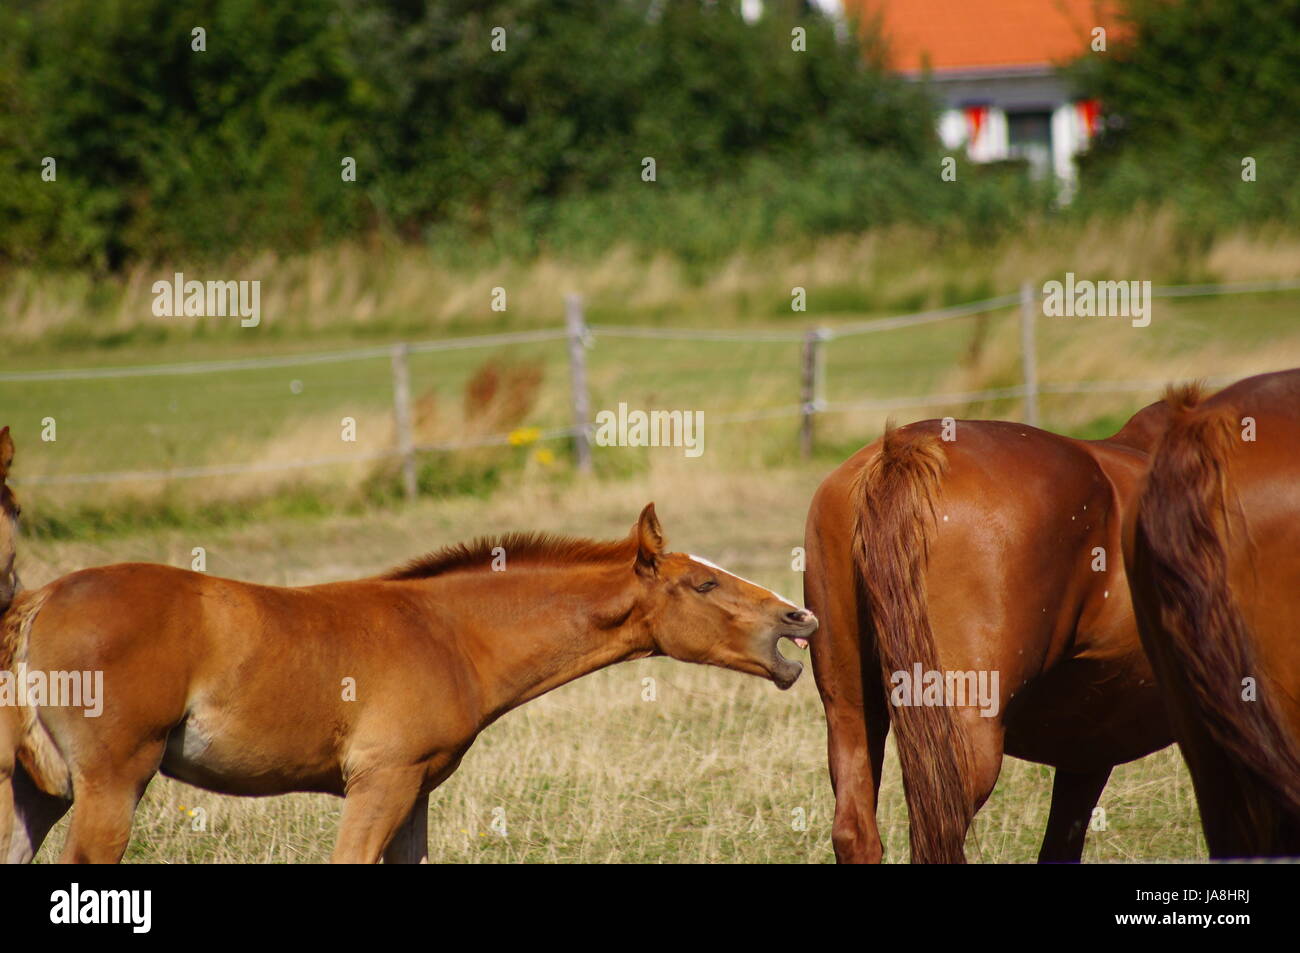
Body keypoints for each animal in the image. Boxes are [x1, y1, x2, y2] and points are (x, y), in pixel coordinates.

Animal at [0, 503, 817, 863]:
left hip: (36, 791)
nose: (798, 616)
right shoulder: (380, 782)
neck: (449, 634)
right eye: (705, 584)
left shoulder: (414, 790)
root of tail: (39, 601)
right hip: (111, 785)